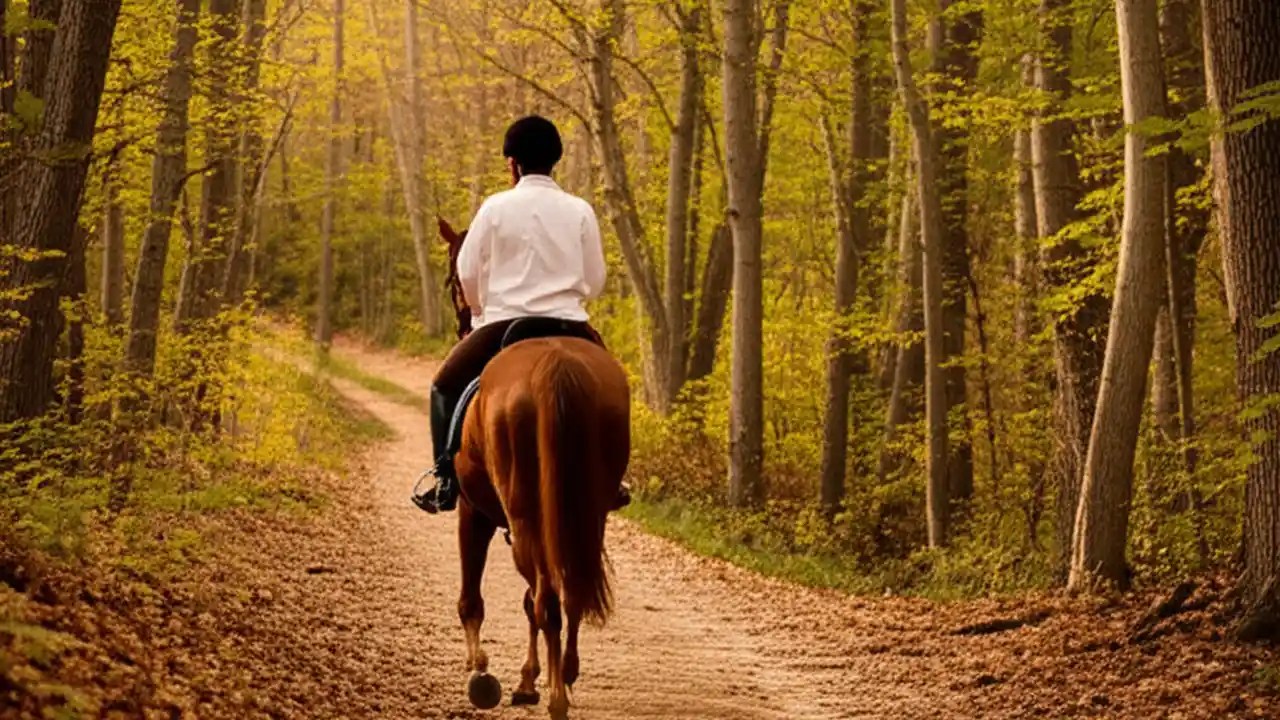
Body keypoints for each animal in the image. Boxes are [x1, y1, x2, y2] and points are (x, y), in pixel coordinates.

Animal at [435, 217, 631, 719]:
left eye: (452, 279)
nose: (463, 319)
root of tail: (553, 365)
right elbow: (528, 601)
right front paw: (528, 678)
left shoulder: (473, 513)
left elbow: (473, 599)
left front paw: (481, 672)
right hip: (584, 513)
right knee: (568, 590)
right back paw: (567, 677)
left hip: (522, 517)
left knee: (547, 600)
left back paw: (557, 696)